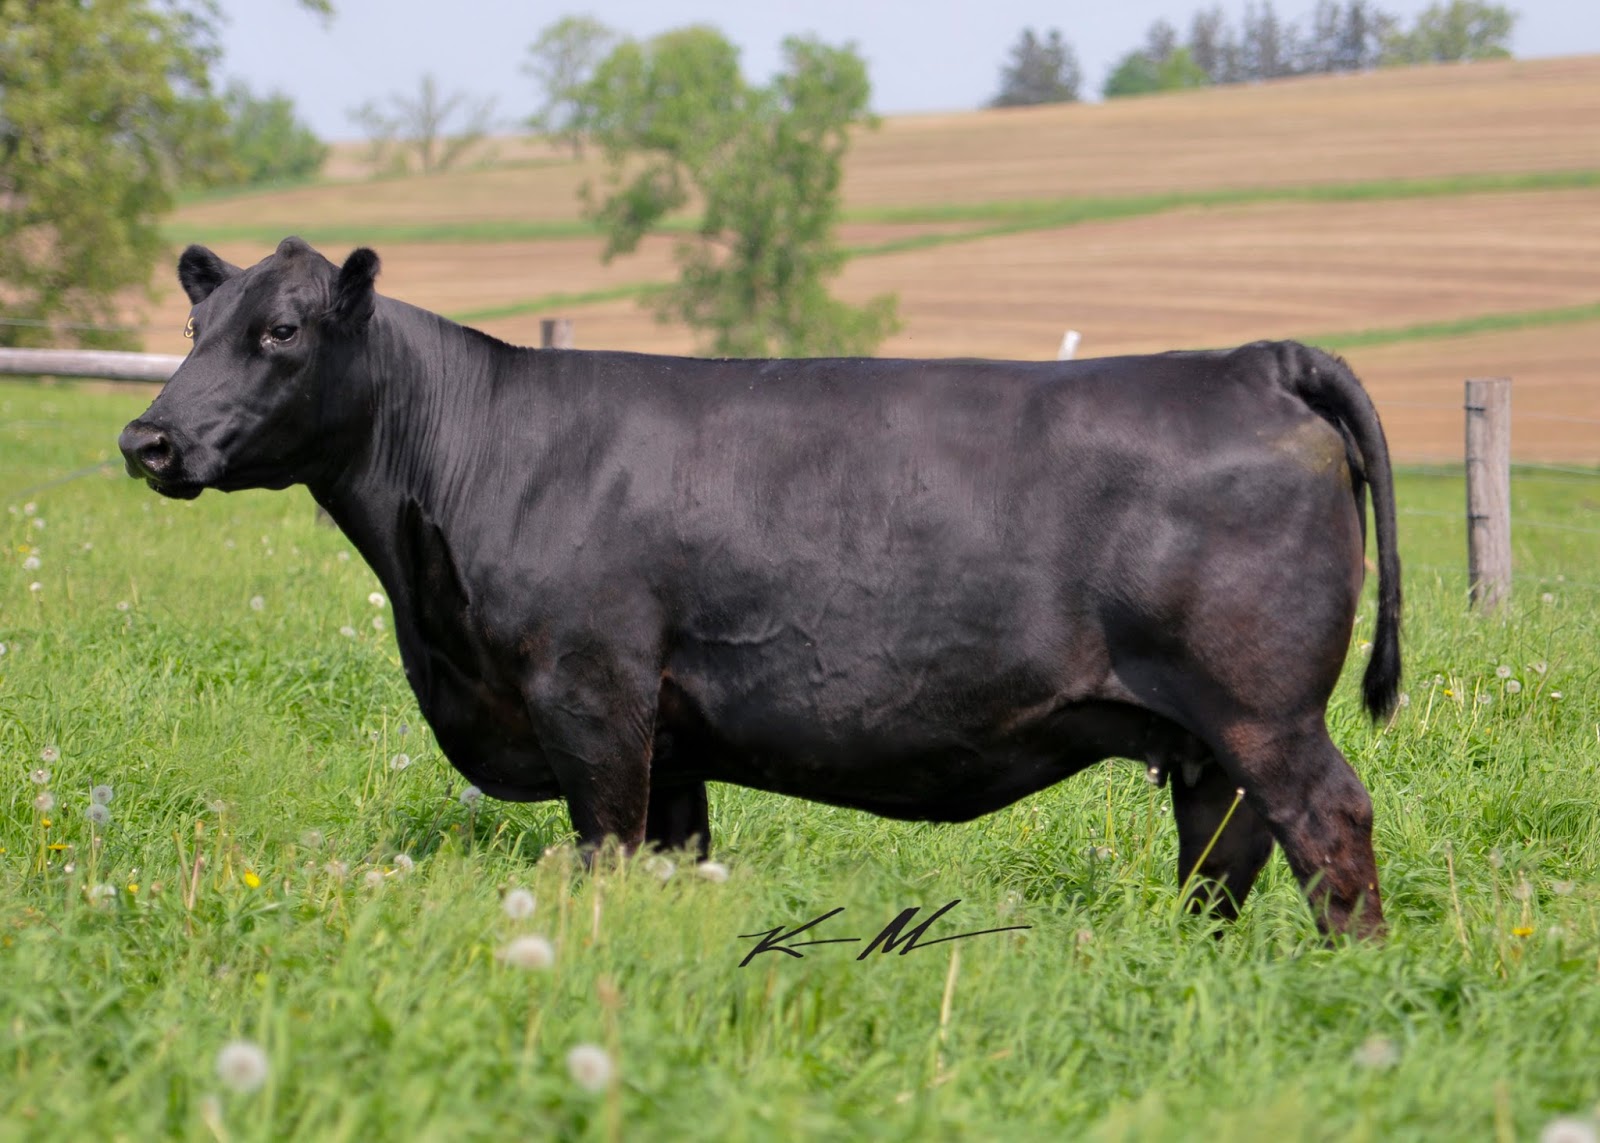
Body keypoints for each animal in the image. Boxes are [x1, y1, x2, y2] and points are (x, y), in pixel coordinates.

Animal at [120, 237, 1401, 939]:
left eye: (283, 331)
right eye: (193, 324)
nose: (147, 439)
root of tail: (1254, 359)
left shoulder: (591, 696)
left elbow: (605, 851)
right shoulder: (673, 737)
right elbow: (672, 861)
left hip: (1264, 708)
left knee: (1328, 827)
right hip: (1205, 739)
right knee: (1222, 855)